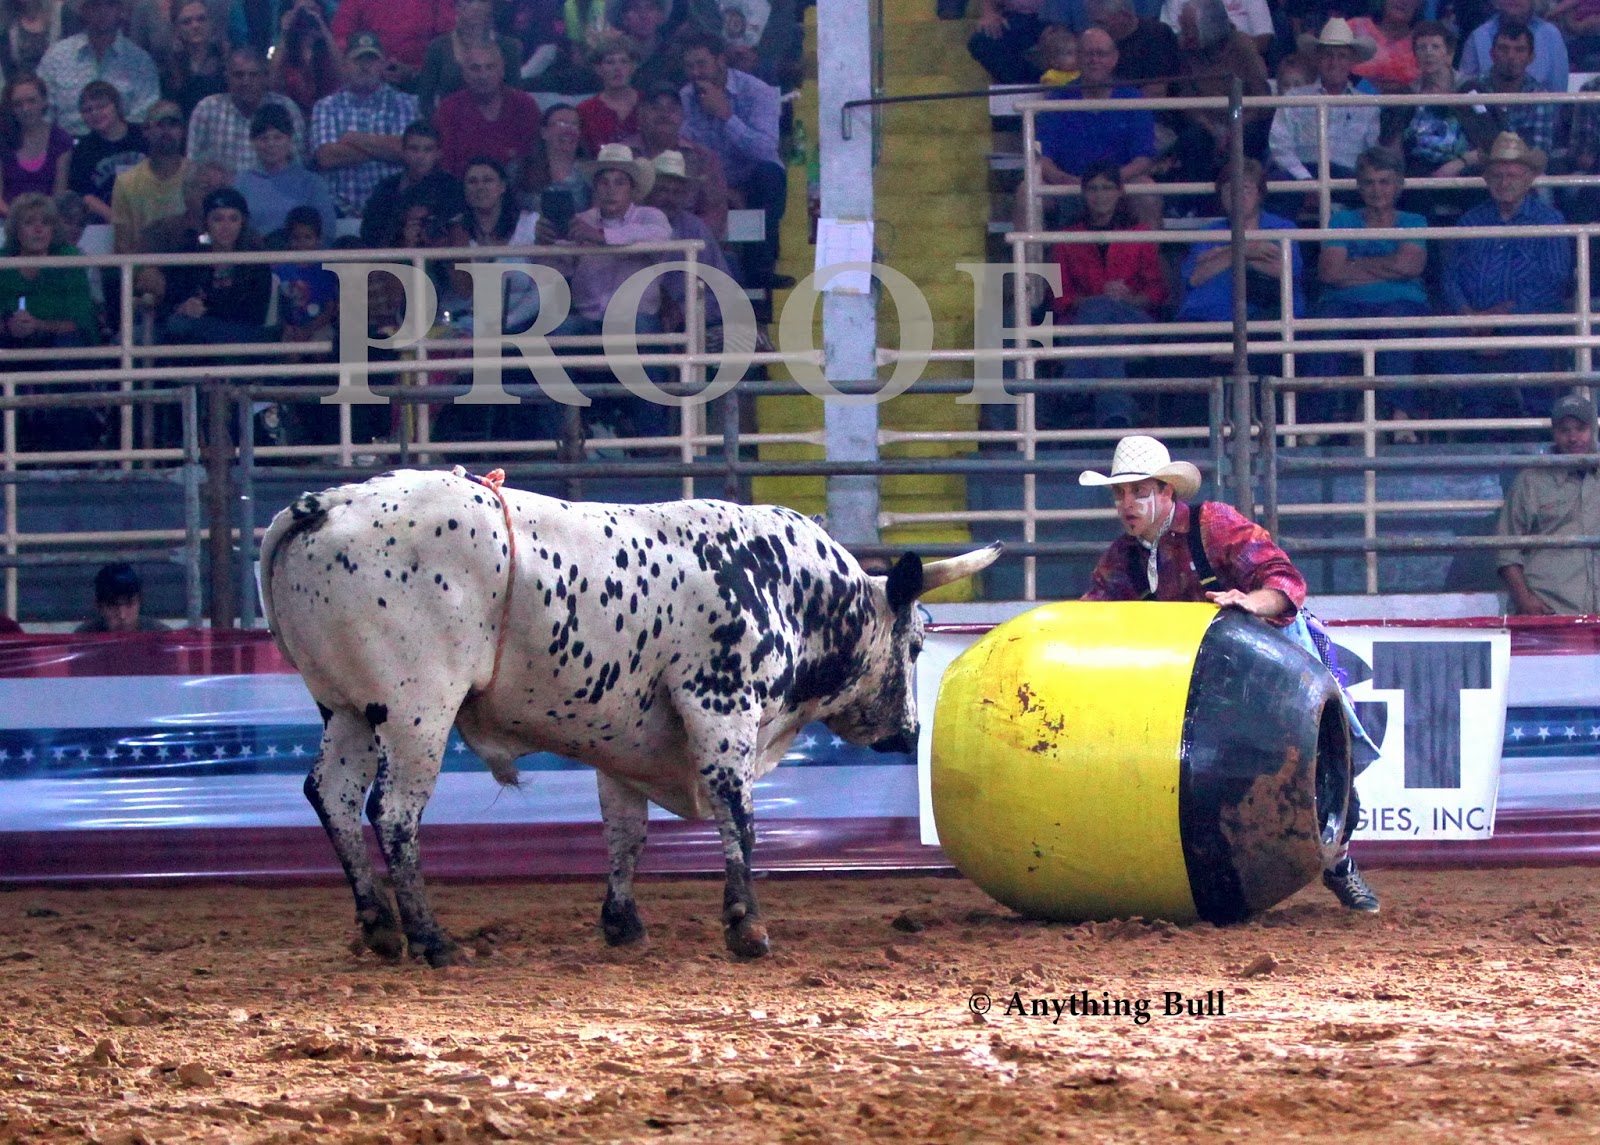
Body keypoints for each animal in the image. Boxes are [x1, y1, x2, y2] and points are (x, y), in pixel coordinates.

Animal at [260, 468, 1000, 966]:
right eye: (915, 643)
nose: (909, 732)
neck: (786, 587)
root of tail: (325, 503)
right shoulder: (721, 707)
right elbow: (739, 816)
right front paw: (746, 926)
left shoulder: (618, 741)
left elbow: (626, 832)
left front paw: (622, 921)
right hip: (417, 711)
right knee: (392, 813)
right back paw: (429, 936)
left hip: (349, 710)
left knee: (333, 795)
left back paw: (379, 924)